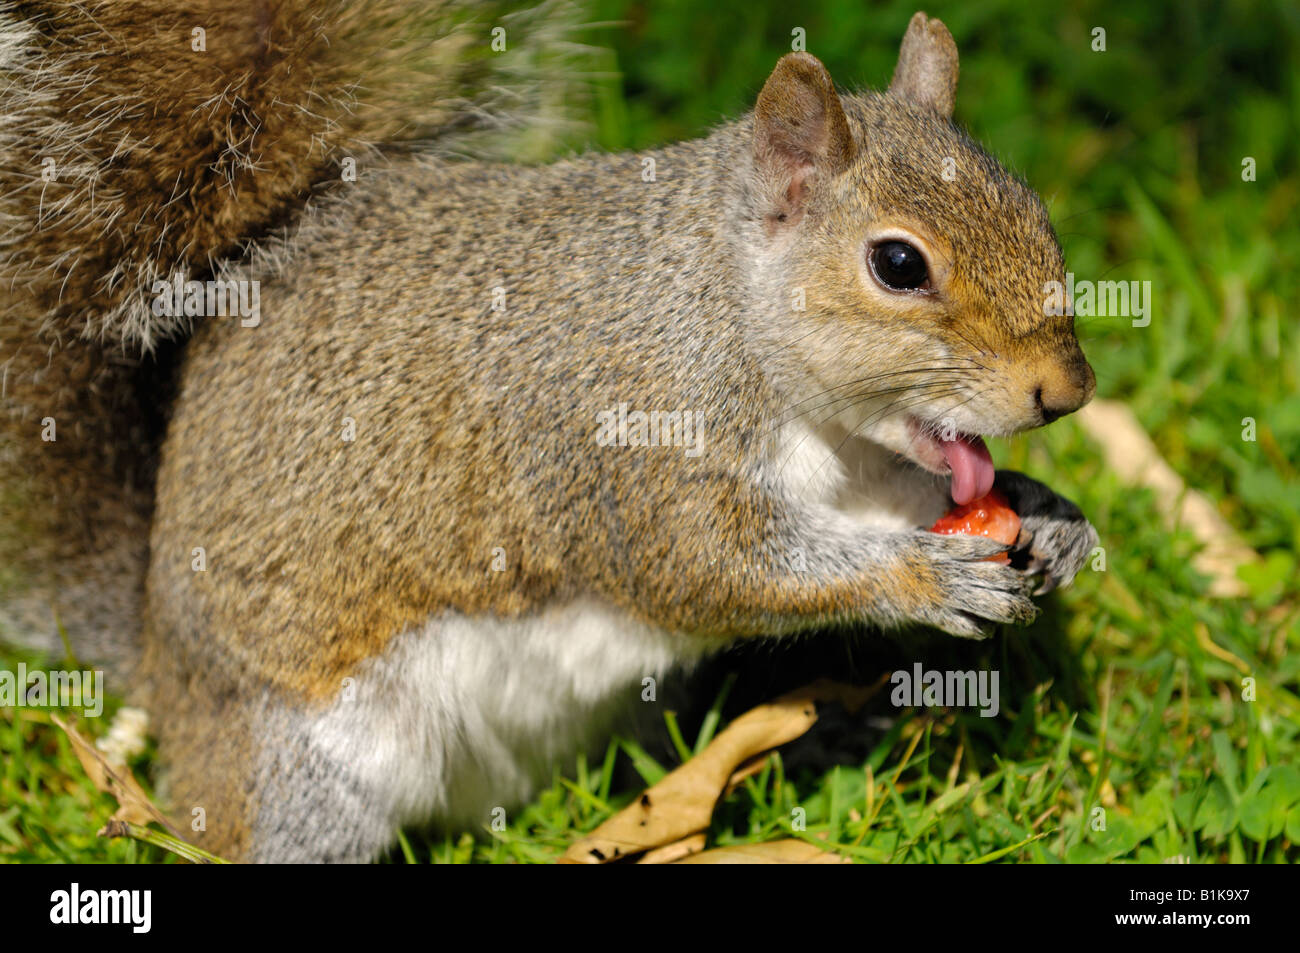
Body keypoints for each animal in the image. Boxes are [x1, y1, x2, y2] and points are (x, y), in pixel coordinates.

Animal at [2, 3, 1099, 862]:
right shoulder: (625, 443)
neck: (723, 306)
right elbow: (701, 567)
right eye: (898, 265)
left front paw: (1050, 517)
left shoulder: (858, 463)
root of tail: (157, 657)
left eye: (1031, 204)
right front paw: (926, 577)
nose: (1068, 390)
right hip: (299, 764)